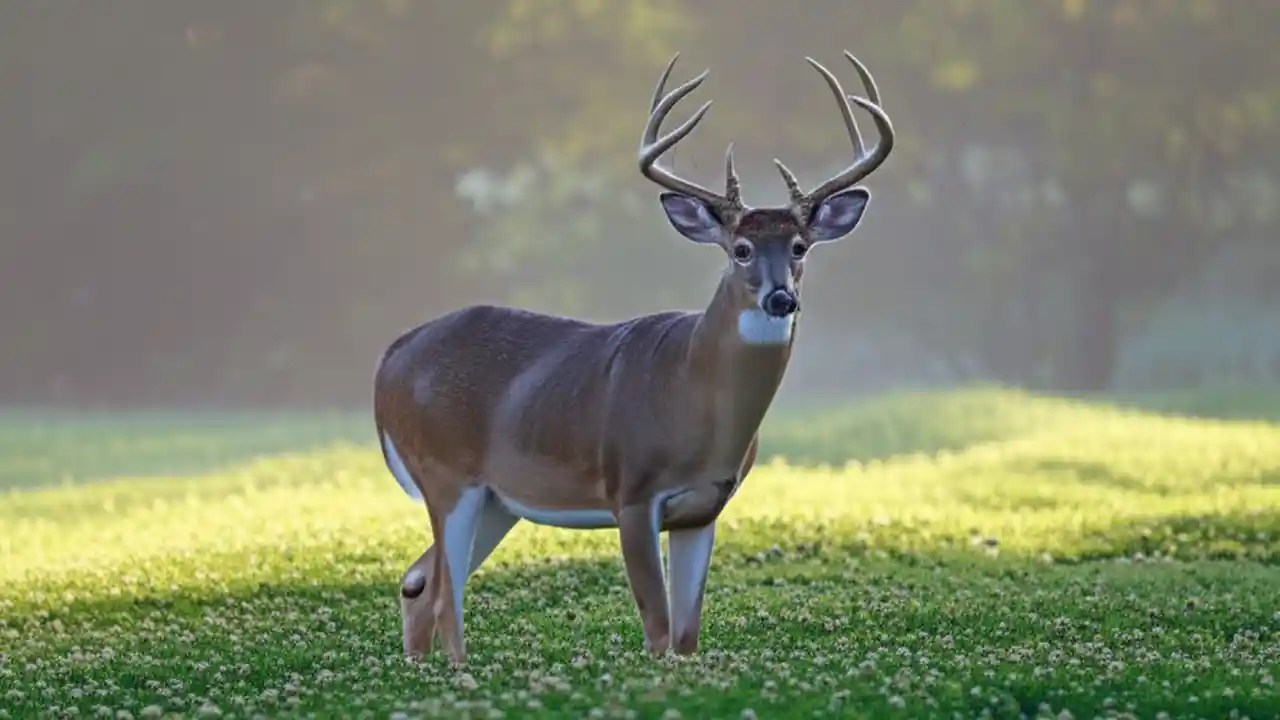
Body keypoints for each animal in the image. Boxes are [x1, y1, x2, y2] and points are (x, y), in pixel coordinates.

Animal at [373, 50, 894, 665]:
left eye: (799, 247)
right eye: (741, 249)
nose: (780, 298)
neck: (696, 396)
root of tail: (390, 358)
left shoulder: (705, 507)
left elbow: (686, 637)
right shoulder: (632, 491)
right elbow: (659, 632)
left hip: (498, 500)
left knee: (417, 580)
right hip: (445, 471)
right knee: (444, 593)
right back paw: (459, 667)